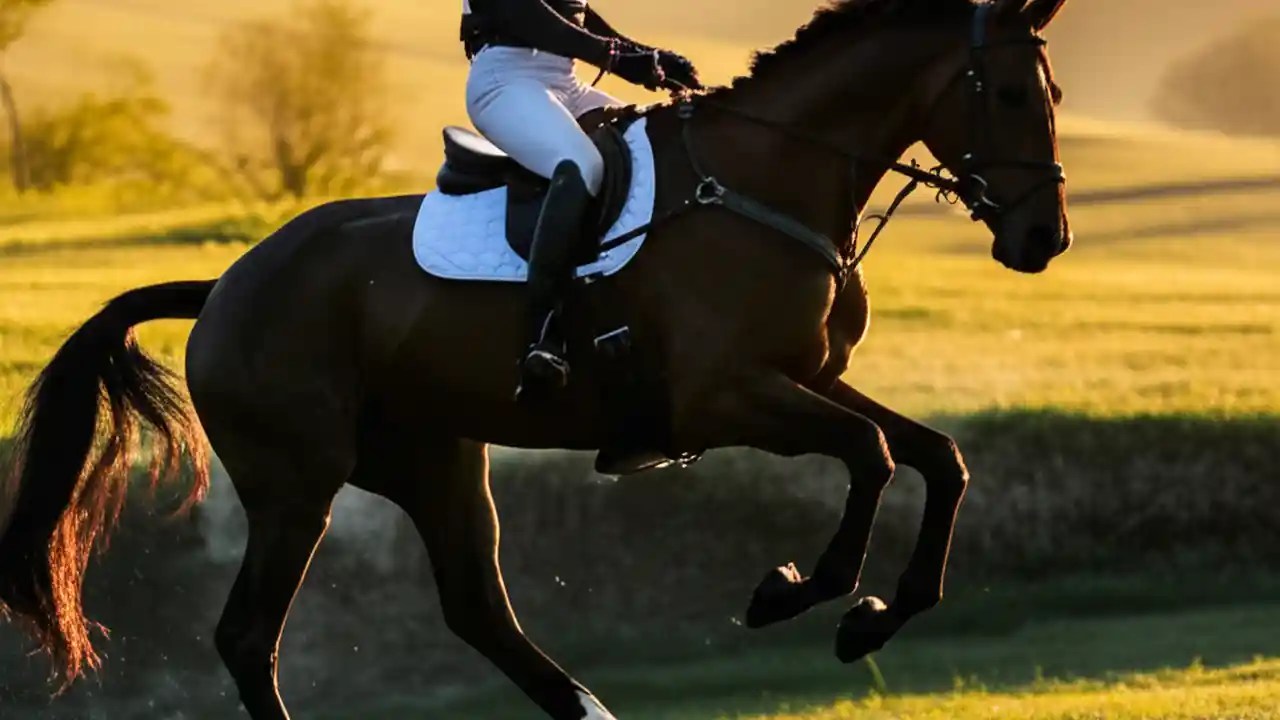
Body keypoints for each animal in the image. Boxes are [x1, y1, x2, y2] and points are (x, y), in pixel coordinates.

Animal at [0, 0, 1073, 717]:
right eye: (1009, 92)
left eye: (1053, 91)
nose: (1042, 241)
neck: (763, 179)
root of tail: (226, 284)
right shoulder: (726, 397)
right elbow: (874, 457)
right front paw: (801, 594)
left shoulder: (805, 380)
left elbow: (936, 457)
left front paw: (880, 614)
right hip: (296, 481)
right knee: (249, 636)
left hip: (433, 461)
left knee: (477, 609)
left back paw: (589, 710)